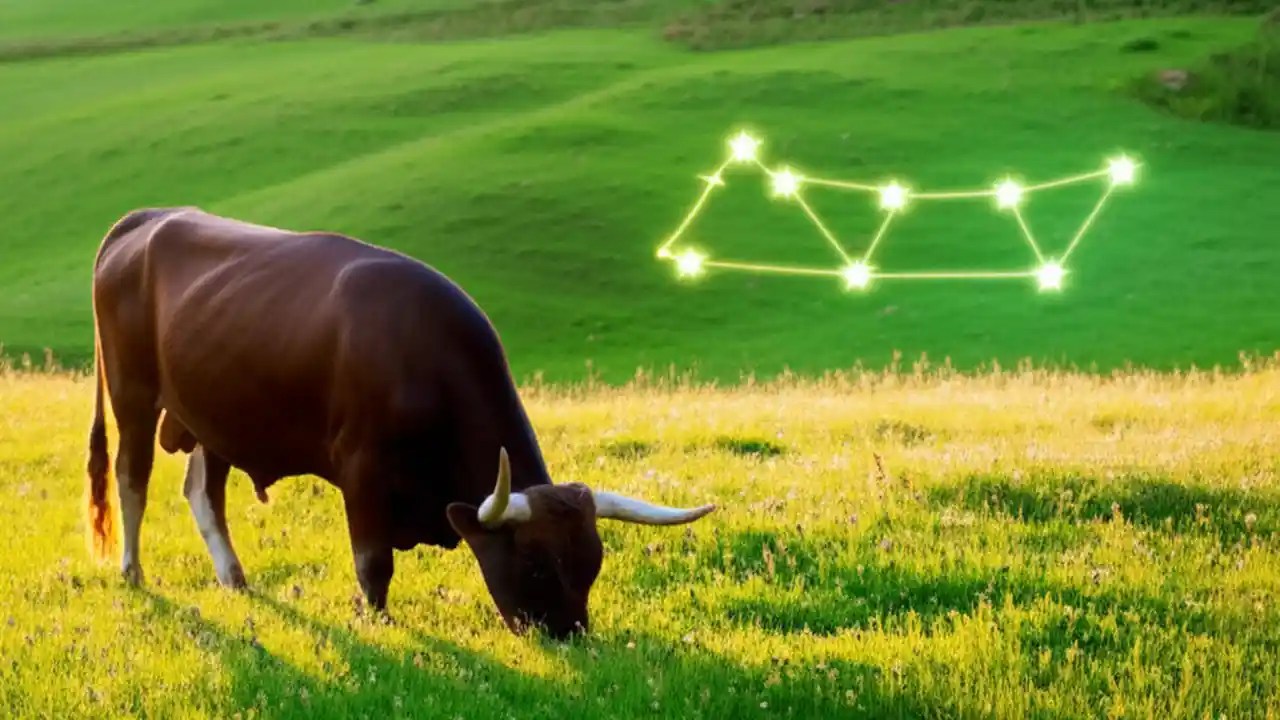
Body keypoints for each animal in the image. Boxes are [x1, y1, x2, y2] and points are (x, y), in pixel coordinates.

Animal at [84, 207, 715, 638]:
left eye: (592, 563)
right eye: (535, 564)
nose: (569, 636)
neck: (424, 356)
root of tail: (150, 218)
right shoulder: (361, 472)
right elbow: (373, 562)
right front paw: (377, 621)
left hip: (214, 415)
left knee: (202, 492)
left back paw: (234, 577)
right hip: (133, 394)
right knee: (132, 478)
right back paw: (133, 571)